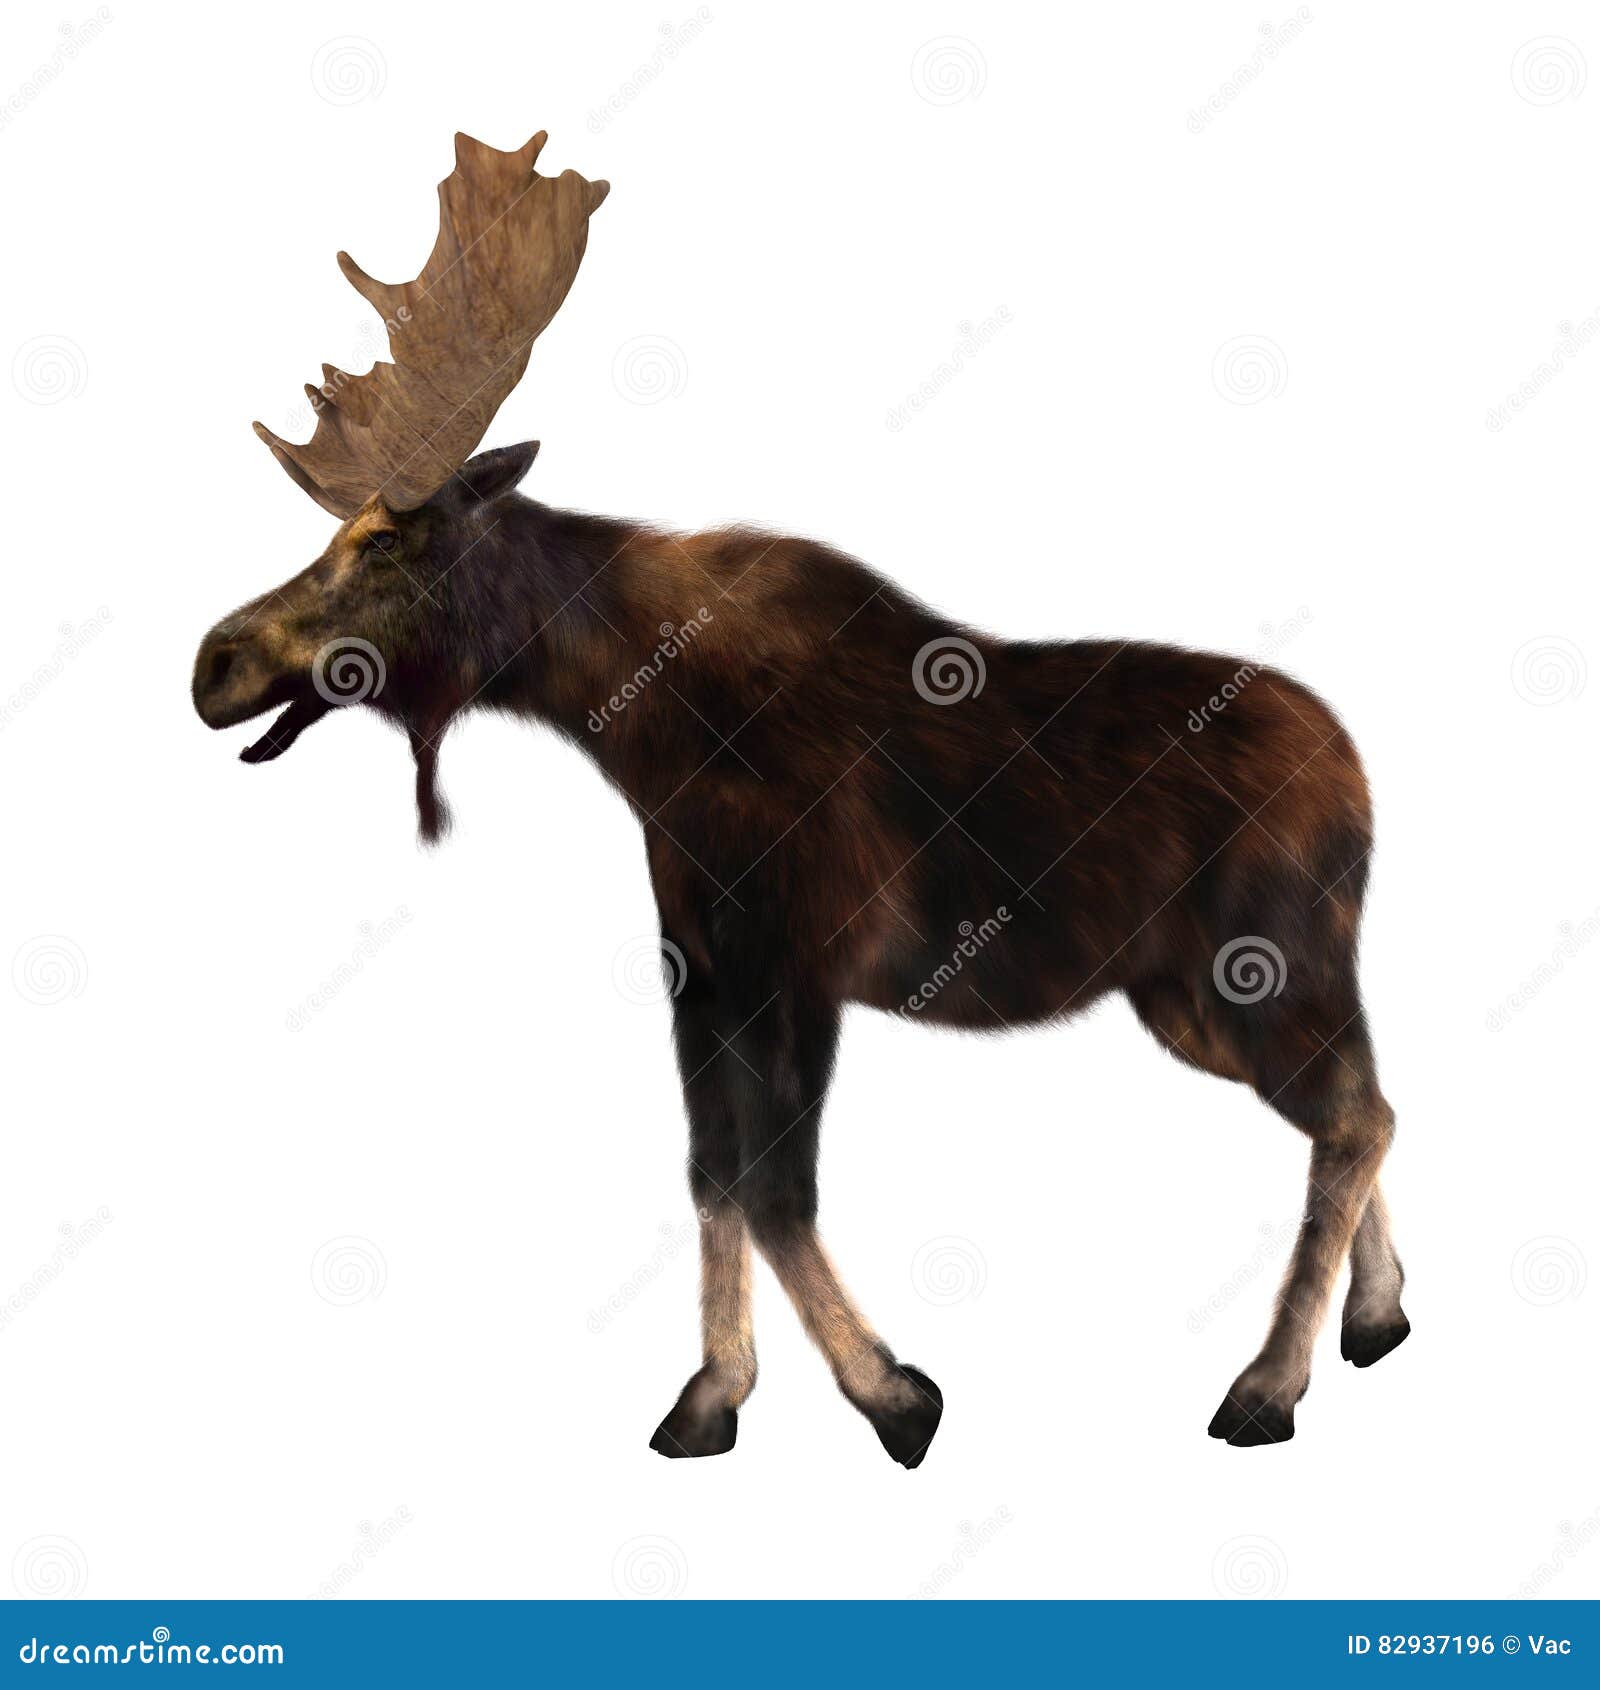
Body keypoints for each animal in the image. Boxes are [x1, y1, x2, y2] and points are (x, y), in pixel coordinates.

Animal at [192, 130, 1410, 1468]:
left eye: (385, 543)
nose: (214, 664)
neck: (636, 725)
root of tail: (1361, 778)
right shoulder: (700, 965)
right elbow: (709, 1170)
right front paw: (713, 1393)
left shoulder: (798, 964)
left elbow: (777, 1187)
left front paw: (895, 1394)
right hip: (1187, 997)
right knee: (1362, 1103)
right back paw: (1376, 1317)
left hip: (1259, 968)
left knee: (1354, 1115)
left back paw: (1267, 1384)